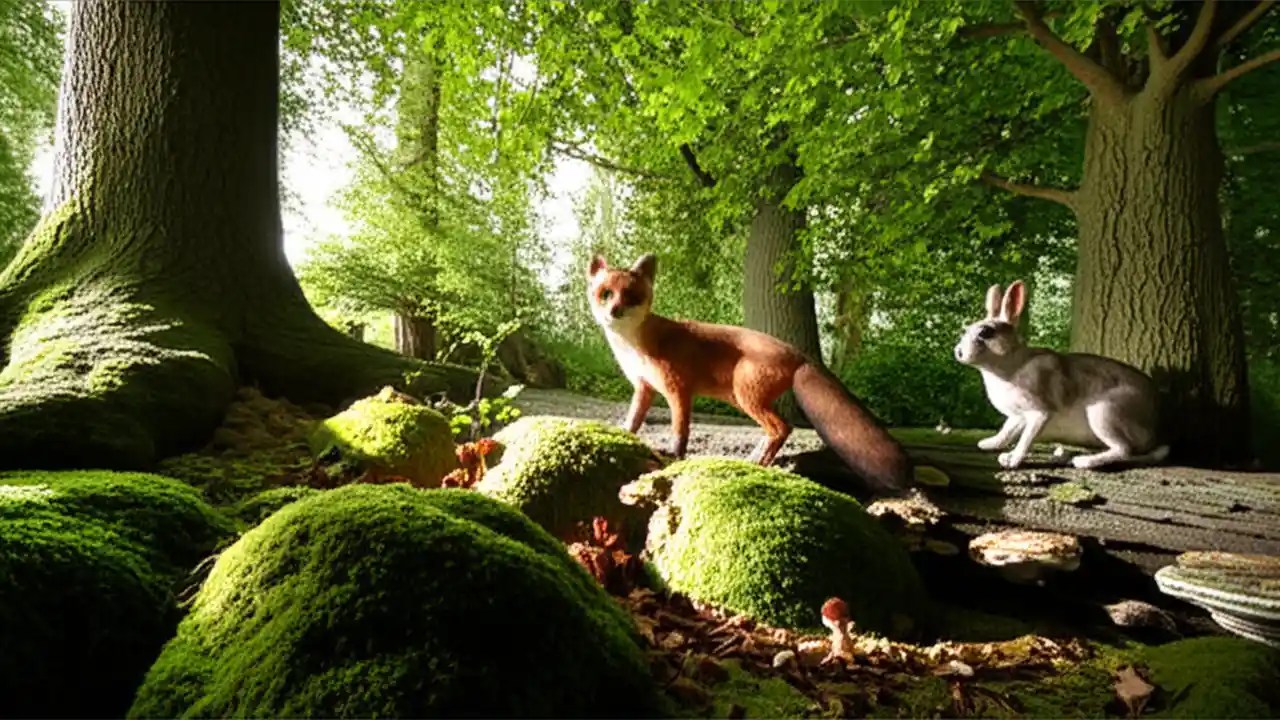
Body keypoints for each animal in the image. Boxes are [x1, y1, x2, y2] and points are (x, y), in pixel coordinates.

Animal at [587, 253, 913, 497]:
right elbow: (633, 420)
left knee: (782, 428)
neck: (635, 346)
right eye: (606, 294)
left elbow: (680, 431)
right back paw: (756, 460)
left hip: (746, 396)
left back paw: (760, 464)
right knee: (778, 430)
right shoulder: (644, 388)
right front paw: (623, 435)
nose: (614, 311)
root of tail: (798, 354)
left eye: (631, 296)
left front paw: (673, 458)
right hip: (742, 397)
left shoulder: (678, 388)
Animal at [953, 280, 1170, 470]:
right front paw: (988, 444)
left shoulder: (1040, 413)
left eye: (985, 332)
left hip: (1104, 413)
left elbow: (1026, 438)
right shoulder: (1018, 416)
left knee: (1124, 450)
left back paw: (1083, 461)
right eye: (967, 329)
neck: (1012, 366)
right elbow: (1007, 432)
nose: (958, 352)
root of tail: (1154, 428)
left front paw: (1012, 461)